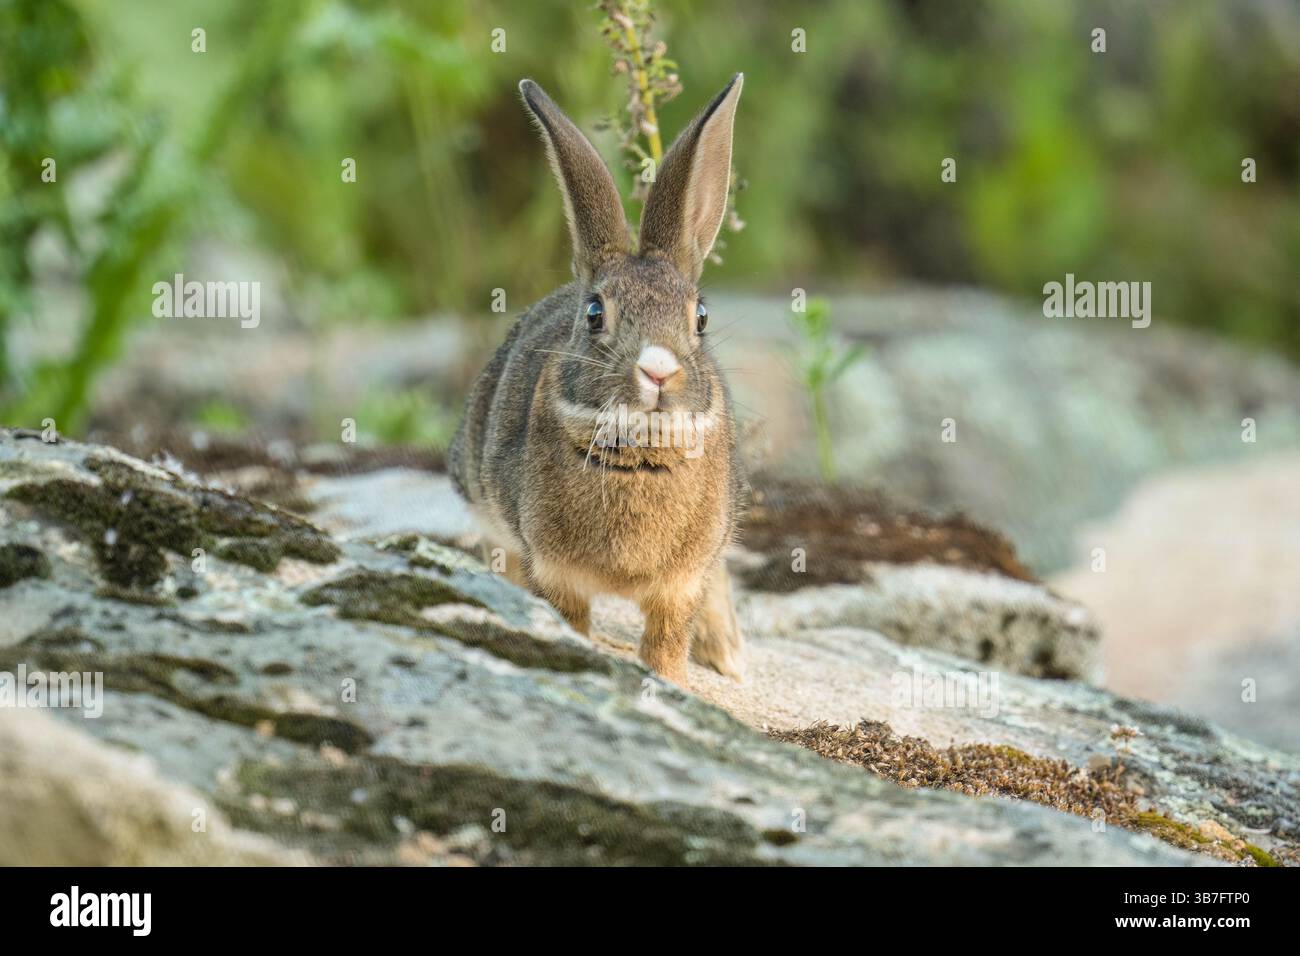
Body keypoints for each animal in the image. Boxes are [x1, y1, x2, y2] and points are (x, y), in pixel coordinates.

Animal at [449, 74, 746, 685]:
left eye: (700, 317)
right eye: (594, 314)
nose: (658, 370)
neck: (640, 453)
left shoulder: (682, 583)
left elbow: (666, 639)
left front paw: (674, 682)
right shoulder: (552, 569)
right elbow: (568, 618)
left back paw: (726, 655)